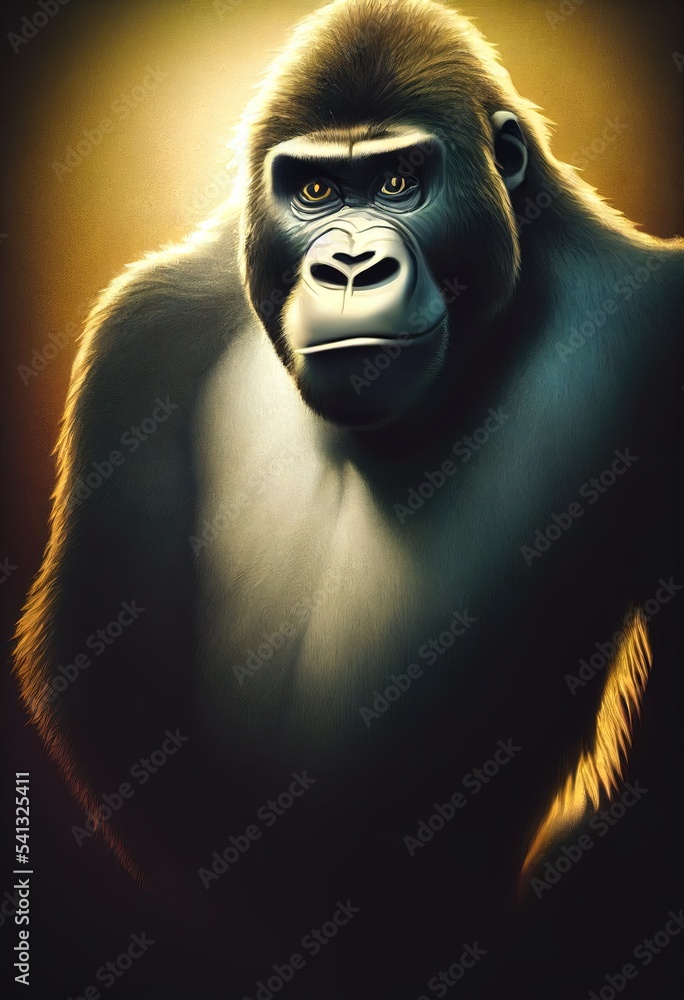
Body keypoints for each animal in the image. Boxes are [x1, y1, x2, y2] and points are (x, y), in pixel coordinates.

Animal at [13, 1, 683, 995]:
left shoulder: (656, 321)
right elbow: (108, 664)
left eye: (401, 181)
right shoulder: (145, 325)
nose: (354, 266)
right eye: (318, 192)